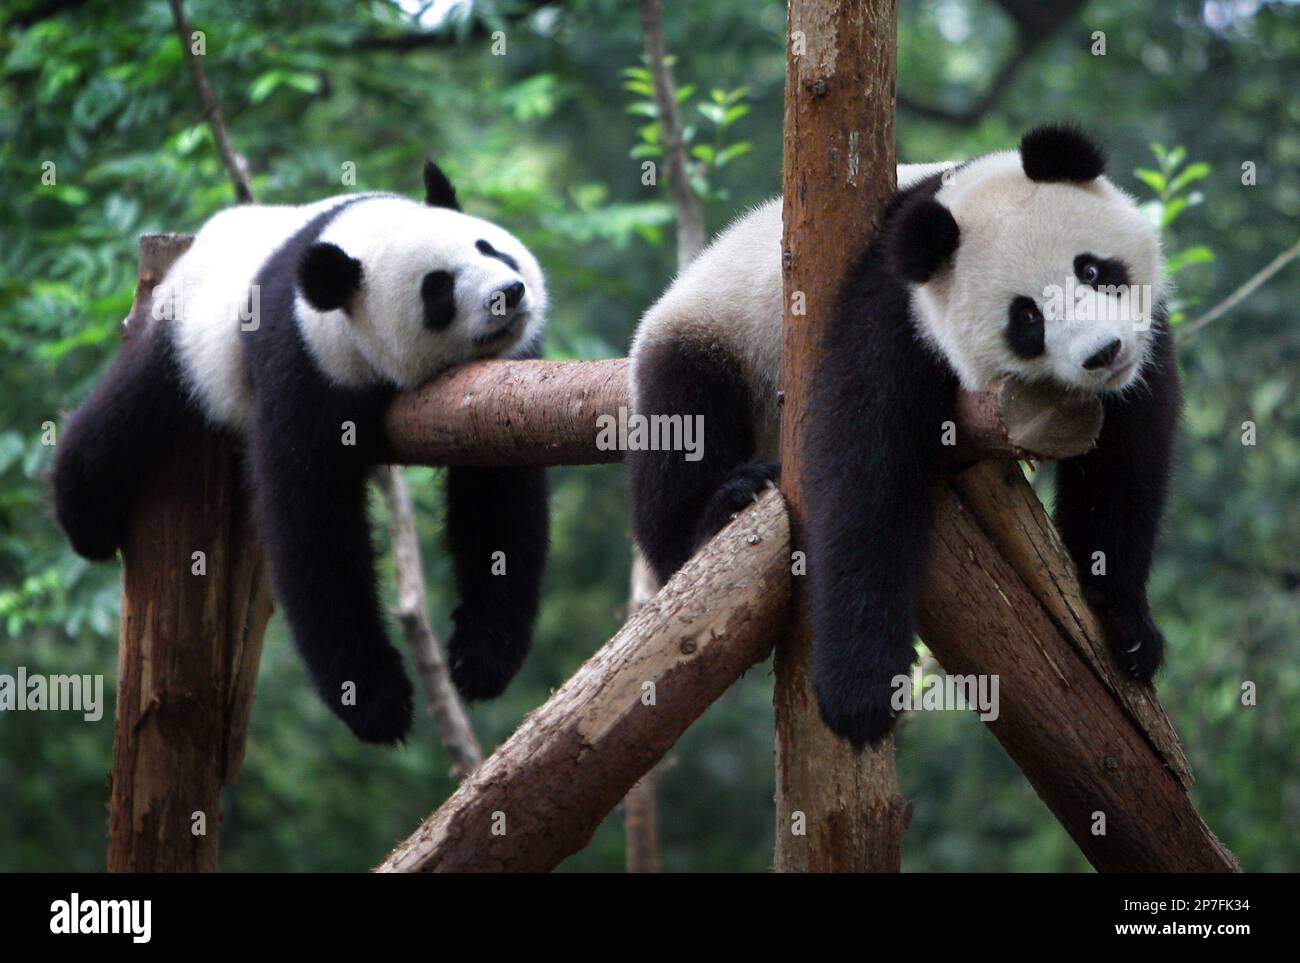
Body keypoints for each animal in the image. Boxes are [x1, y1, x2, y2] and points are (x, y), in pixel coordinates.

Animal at [51, 161, 550, 744]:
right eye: (439, 289)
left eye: (489, 248)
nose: (509, 293)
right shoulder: (302, 361)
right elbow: (313, 521)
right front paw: (375, 701)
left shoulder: (501, 380)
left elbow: (497, 500)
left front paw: (482, 659)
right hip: (184, 340)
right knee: (121, 420)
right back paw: (85, 524)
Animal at [628, 125, 1180, 748]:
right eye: (1027, 319)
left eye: (1090, 270)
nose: (1103, 354)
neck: (954, 198)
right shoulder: (893, 313)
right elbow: (864, 474)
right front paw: (860, 692)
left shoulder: (1144, 349)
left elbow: (1127, 458)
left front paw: (1126, 622)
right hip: (713, 332)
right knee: (683, 423)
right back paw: (724, 505)